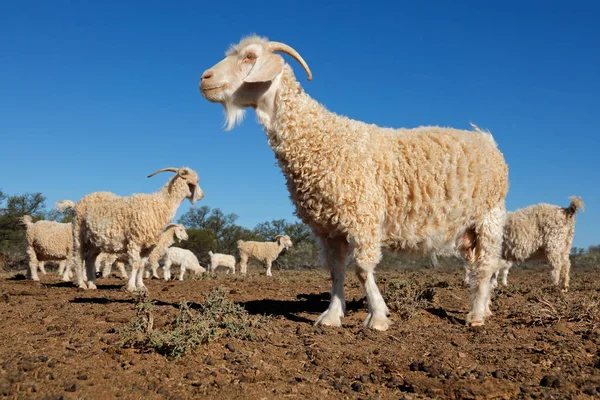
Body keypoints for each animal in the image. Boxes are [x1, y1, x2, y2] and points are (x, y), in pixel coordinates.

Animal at [55, 167, 204, 292]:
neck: (160, 205)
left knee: (90, 258)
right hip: (78, 234)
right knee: (78, 257)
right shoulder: (135, 241)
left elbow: (142, 265)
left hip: (95, 242)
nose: (202, 195)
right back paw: (82, 284)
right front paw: (131, 287)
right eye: (196, 181)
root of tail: (76, 204)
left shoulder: (147, 246)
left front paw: (141, 286)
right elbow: (136, 264)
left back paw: (92, 284)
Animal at [199, 35, 508, 328]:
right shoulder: (328, 228)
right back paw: (484, 309)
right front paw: (332, 316)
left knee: (486, 266)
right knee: (477, 267)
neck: (323, 138)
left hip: (489, 218)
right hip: (468, 230)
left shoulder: (362, 217)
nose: (204, 78)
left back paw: (476, 315)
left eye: (250, 56)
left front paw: (378, 317)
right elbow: (336, 271)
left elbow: (361, 269)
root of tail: (487, 140)